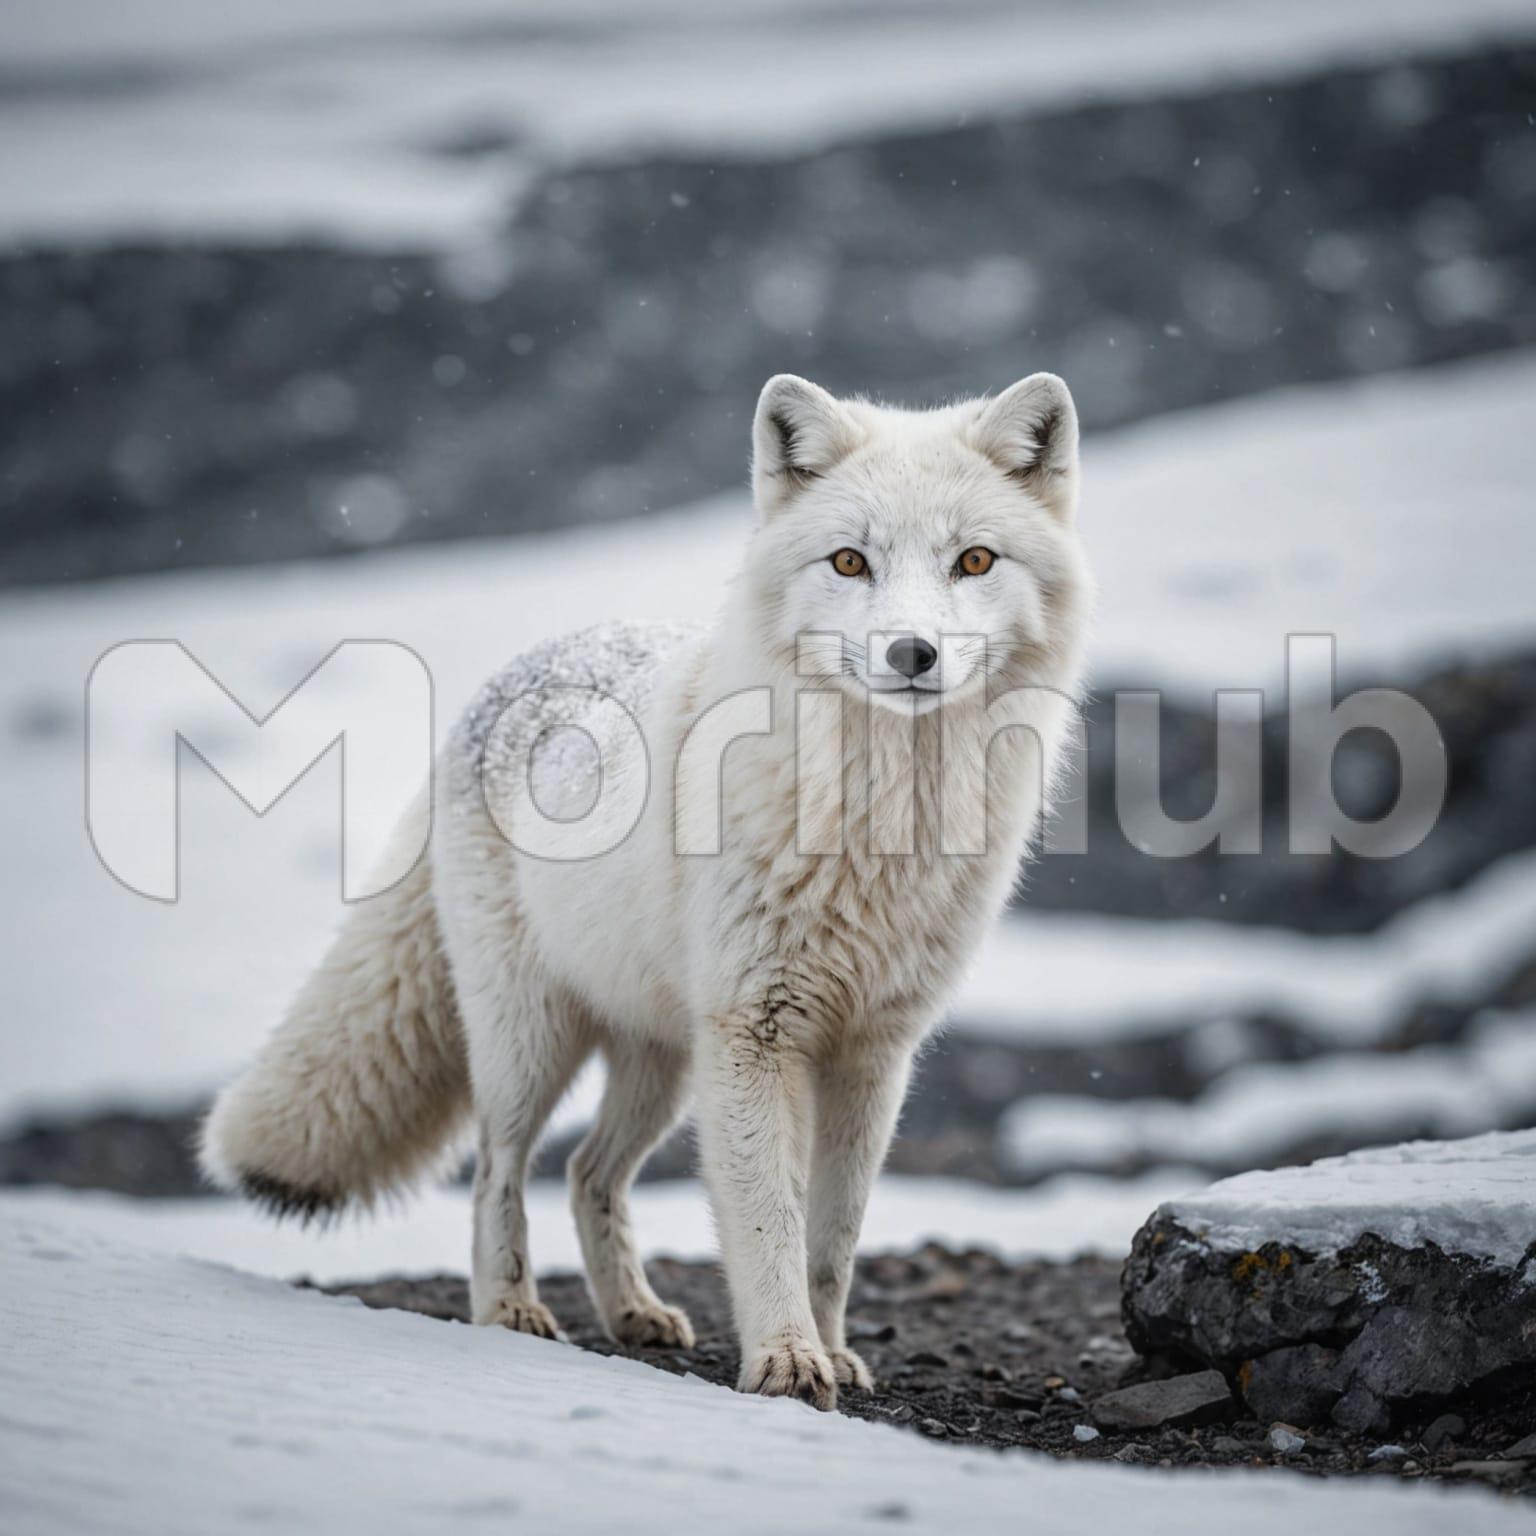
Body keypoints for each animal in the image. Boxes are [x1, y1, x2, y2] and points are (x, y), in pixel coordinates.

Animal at [201, 371, 1092, 1409]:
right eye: (849, 561)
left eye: (974, 560)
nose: (912, 654)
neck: (879, 829)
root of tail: (499, 686)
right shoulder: (756, 1032)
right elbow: (770, 1222)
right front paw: (785, 1362)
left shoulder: (873, 1052)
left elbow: (834, 1238)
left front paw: (832, 1356)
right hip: (534, 1043)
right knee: (499, 1170)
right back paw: (510, 1311)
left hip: (660, 1065)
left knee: (591, 1172)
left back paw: (633, 1312)